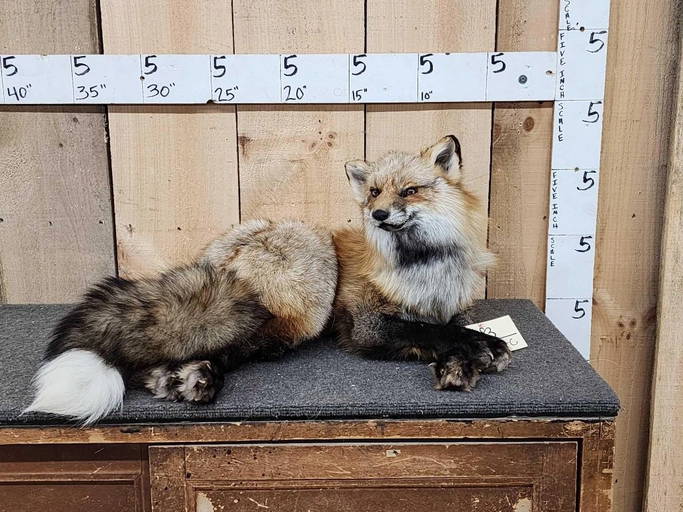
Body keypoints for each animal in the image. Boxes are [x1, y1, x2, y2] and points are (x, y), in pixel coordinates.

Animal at [25, 135, 511, 424]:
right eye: (375, 192)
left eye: (409, 191)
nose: (376, 214)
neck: (424, 269)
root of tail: (226, 252)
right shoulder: (366, 324)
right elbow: (429, 331)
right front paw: (481, 347)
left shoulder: (448, 308)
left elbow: (445, 330)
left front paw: (462, 363)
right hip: (311, 292)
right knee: (231, 346)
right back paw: (196, 378)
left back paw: (174, 378)